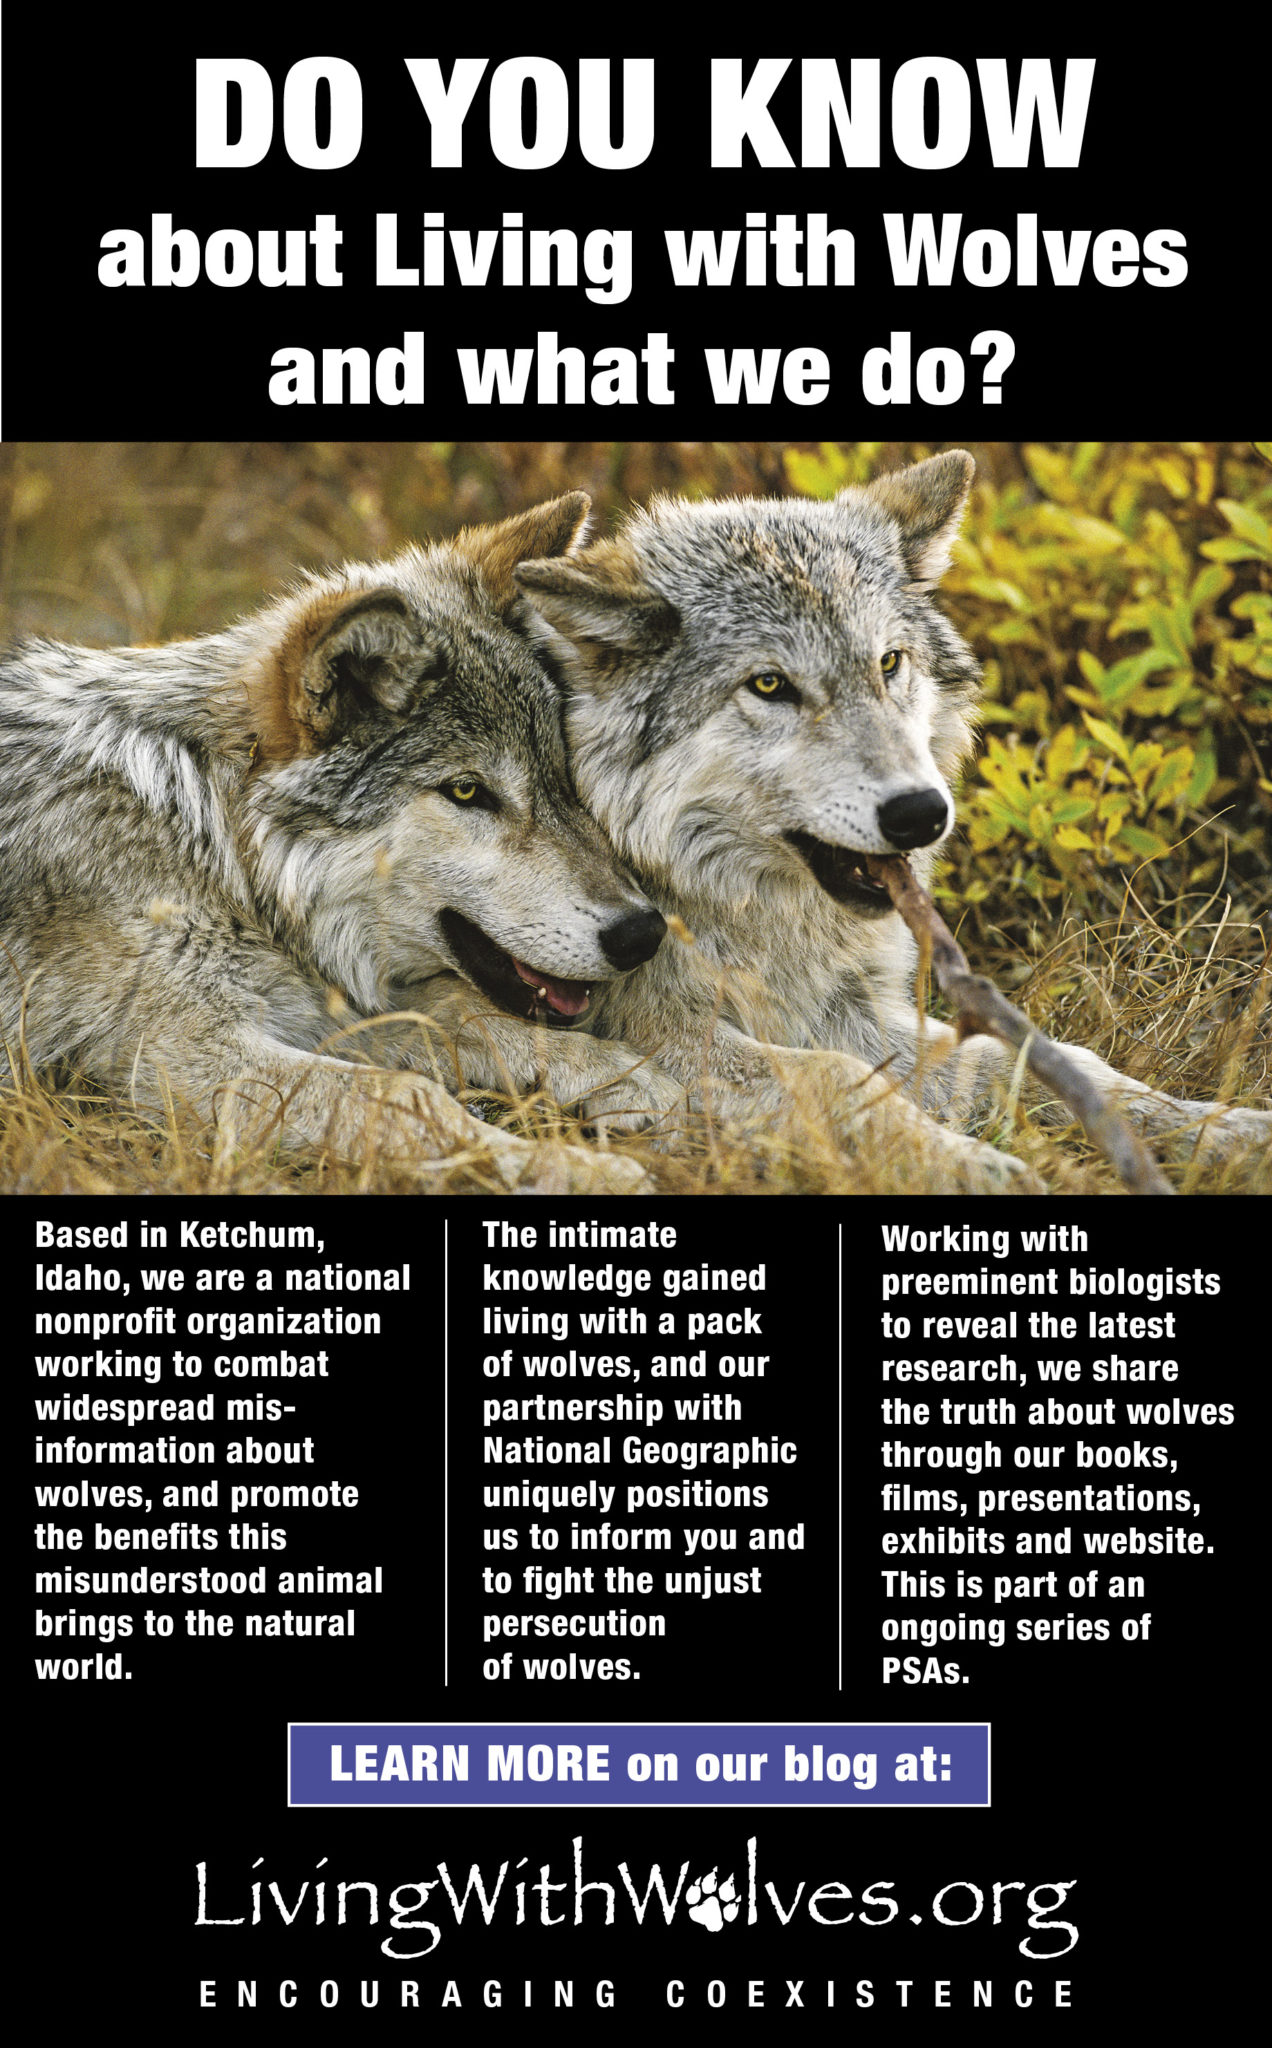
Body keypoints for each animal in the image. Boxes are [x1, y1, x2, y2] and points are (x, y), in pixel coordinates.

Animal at [0, 494, 677, 1192]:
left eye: (562, 777)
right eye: (467, 791)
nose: (644, 933)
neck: (221, 845)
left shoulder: (312, 1006)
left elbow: (460, 1008)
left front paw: (625, 1076)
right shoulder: (178, 1056)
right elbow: (413, 1094)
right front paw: (577, 1167)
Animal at [516, 454, 1270, 1185]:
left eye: (889, 662)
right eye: (769, 685)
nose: (920, 814)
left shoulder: (850, 1009)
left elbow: (1038, 1063)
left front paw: (1221, 1131)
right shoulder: (661, 1035)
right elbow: (837, 1077)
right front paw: (971, 1164)